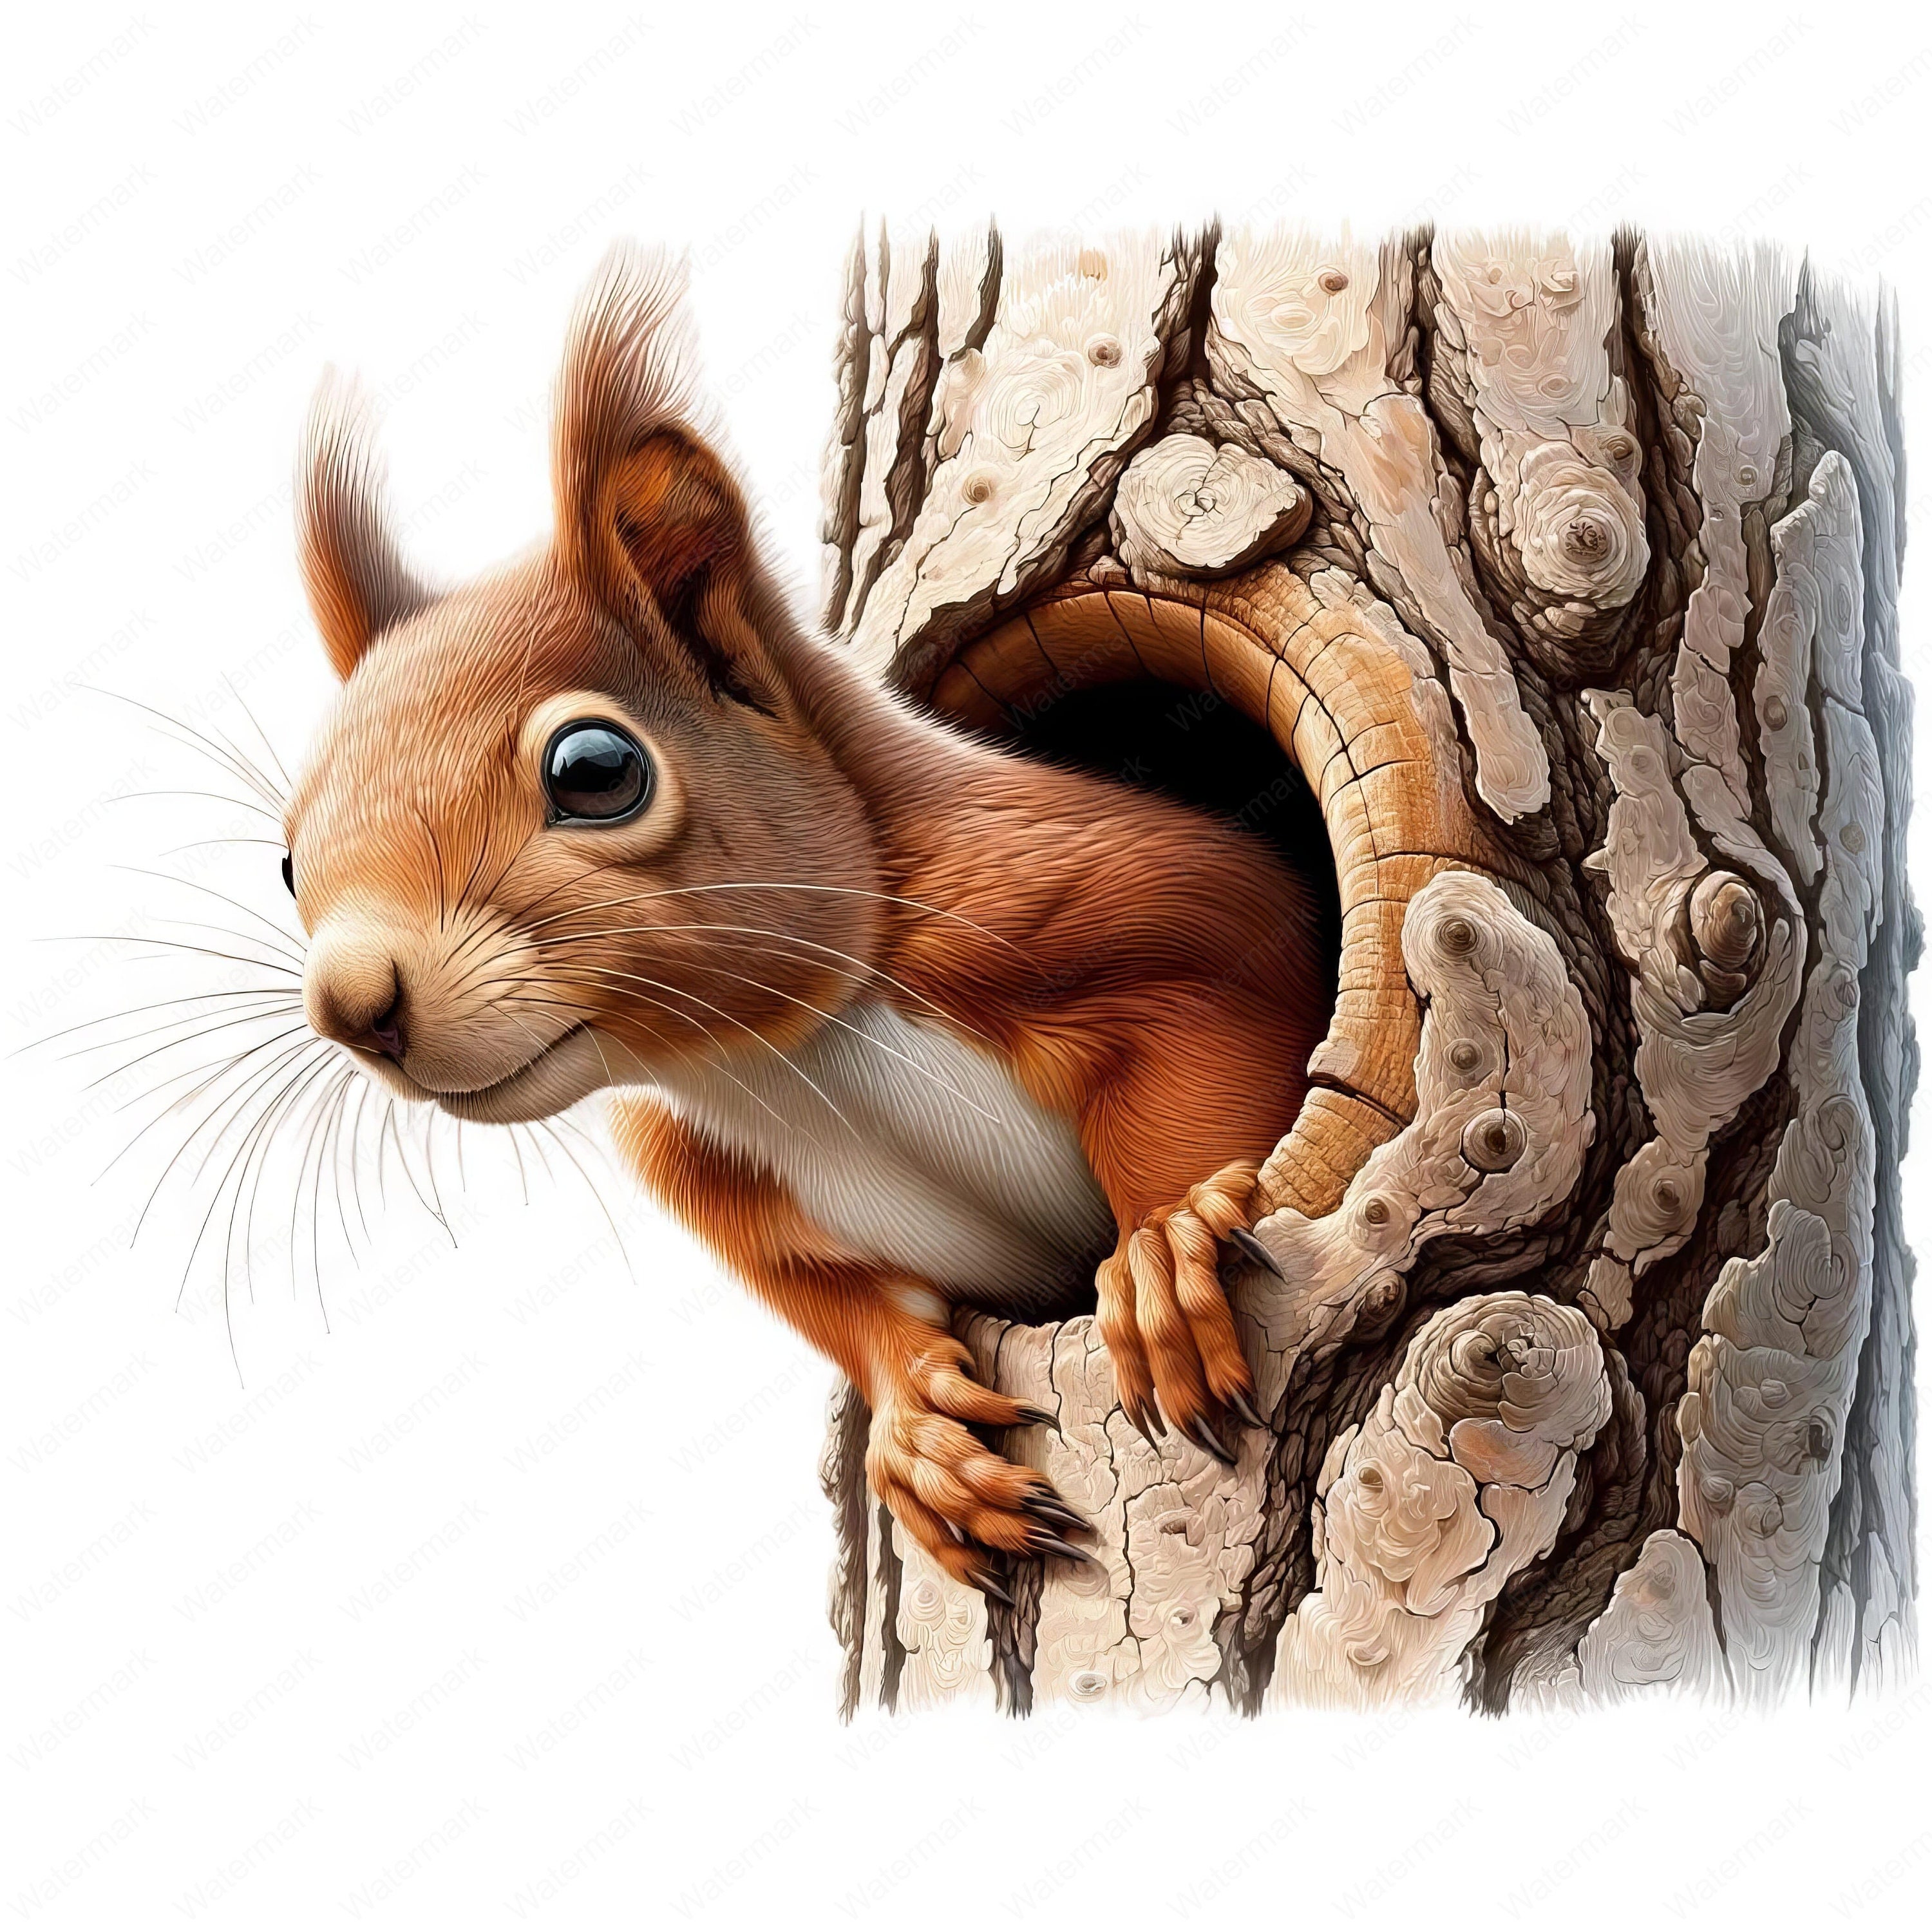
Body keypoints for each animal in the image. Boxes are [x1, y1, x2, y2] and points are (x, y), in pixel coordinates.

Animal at [286, 246, 1330, 1599]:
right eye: (287, 858)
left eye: (594, 770)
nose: (354, 1002)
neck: (789, 1056)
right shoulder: (700, 1164)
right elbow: (832, 1298)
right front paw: (919, 1431)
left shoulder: (1142, 910)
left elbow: (1211, 1076)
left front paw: (1160, 1256)